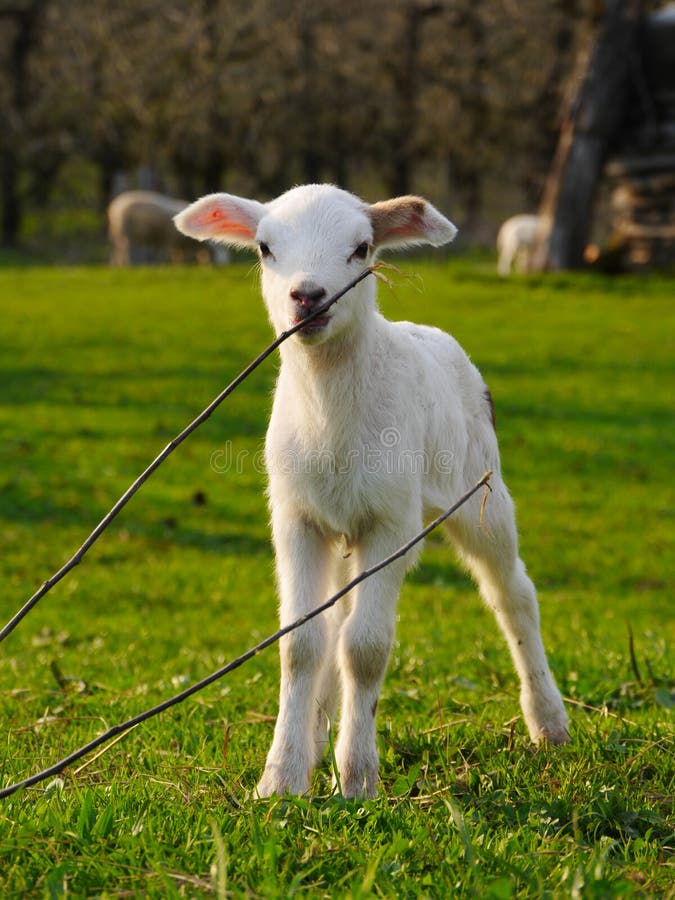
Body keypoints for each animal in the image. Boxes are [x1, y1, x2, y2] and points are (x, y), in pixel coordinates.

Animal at [175, 184, 569, 799]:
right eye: (264, 247)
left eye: (362, 248)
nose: (308, 296)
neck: (329, 412)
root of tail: (426, 331)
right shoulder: (296, 519)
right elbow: (302, 643)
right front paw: (281, 777)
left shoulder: (391, 524)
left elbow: (365, 649)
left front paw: (358, 777)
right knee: (336, 619)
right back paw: (317, 737)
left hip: (481, 490)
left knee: (512, 593)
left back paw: (548, 720)